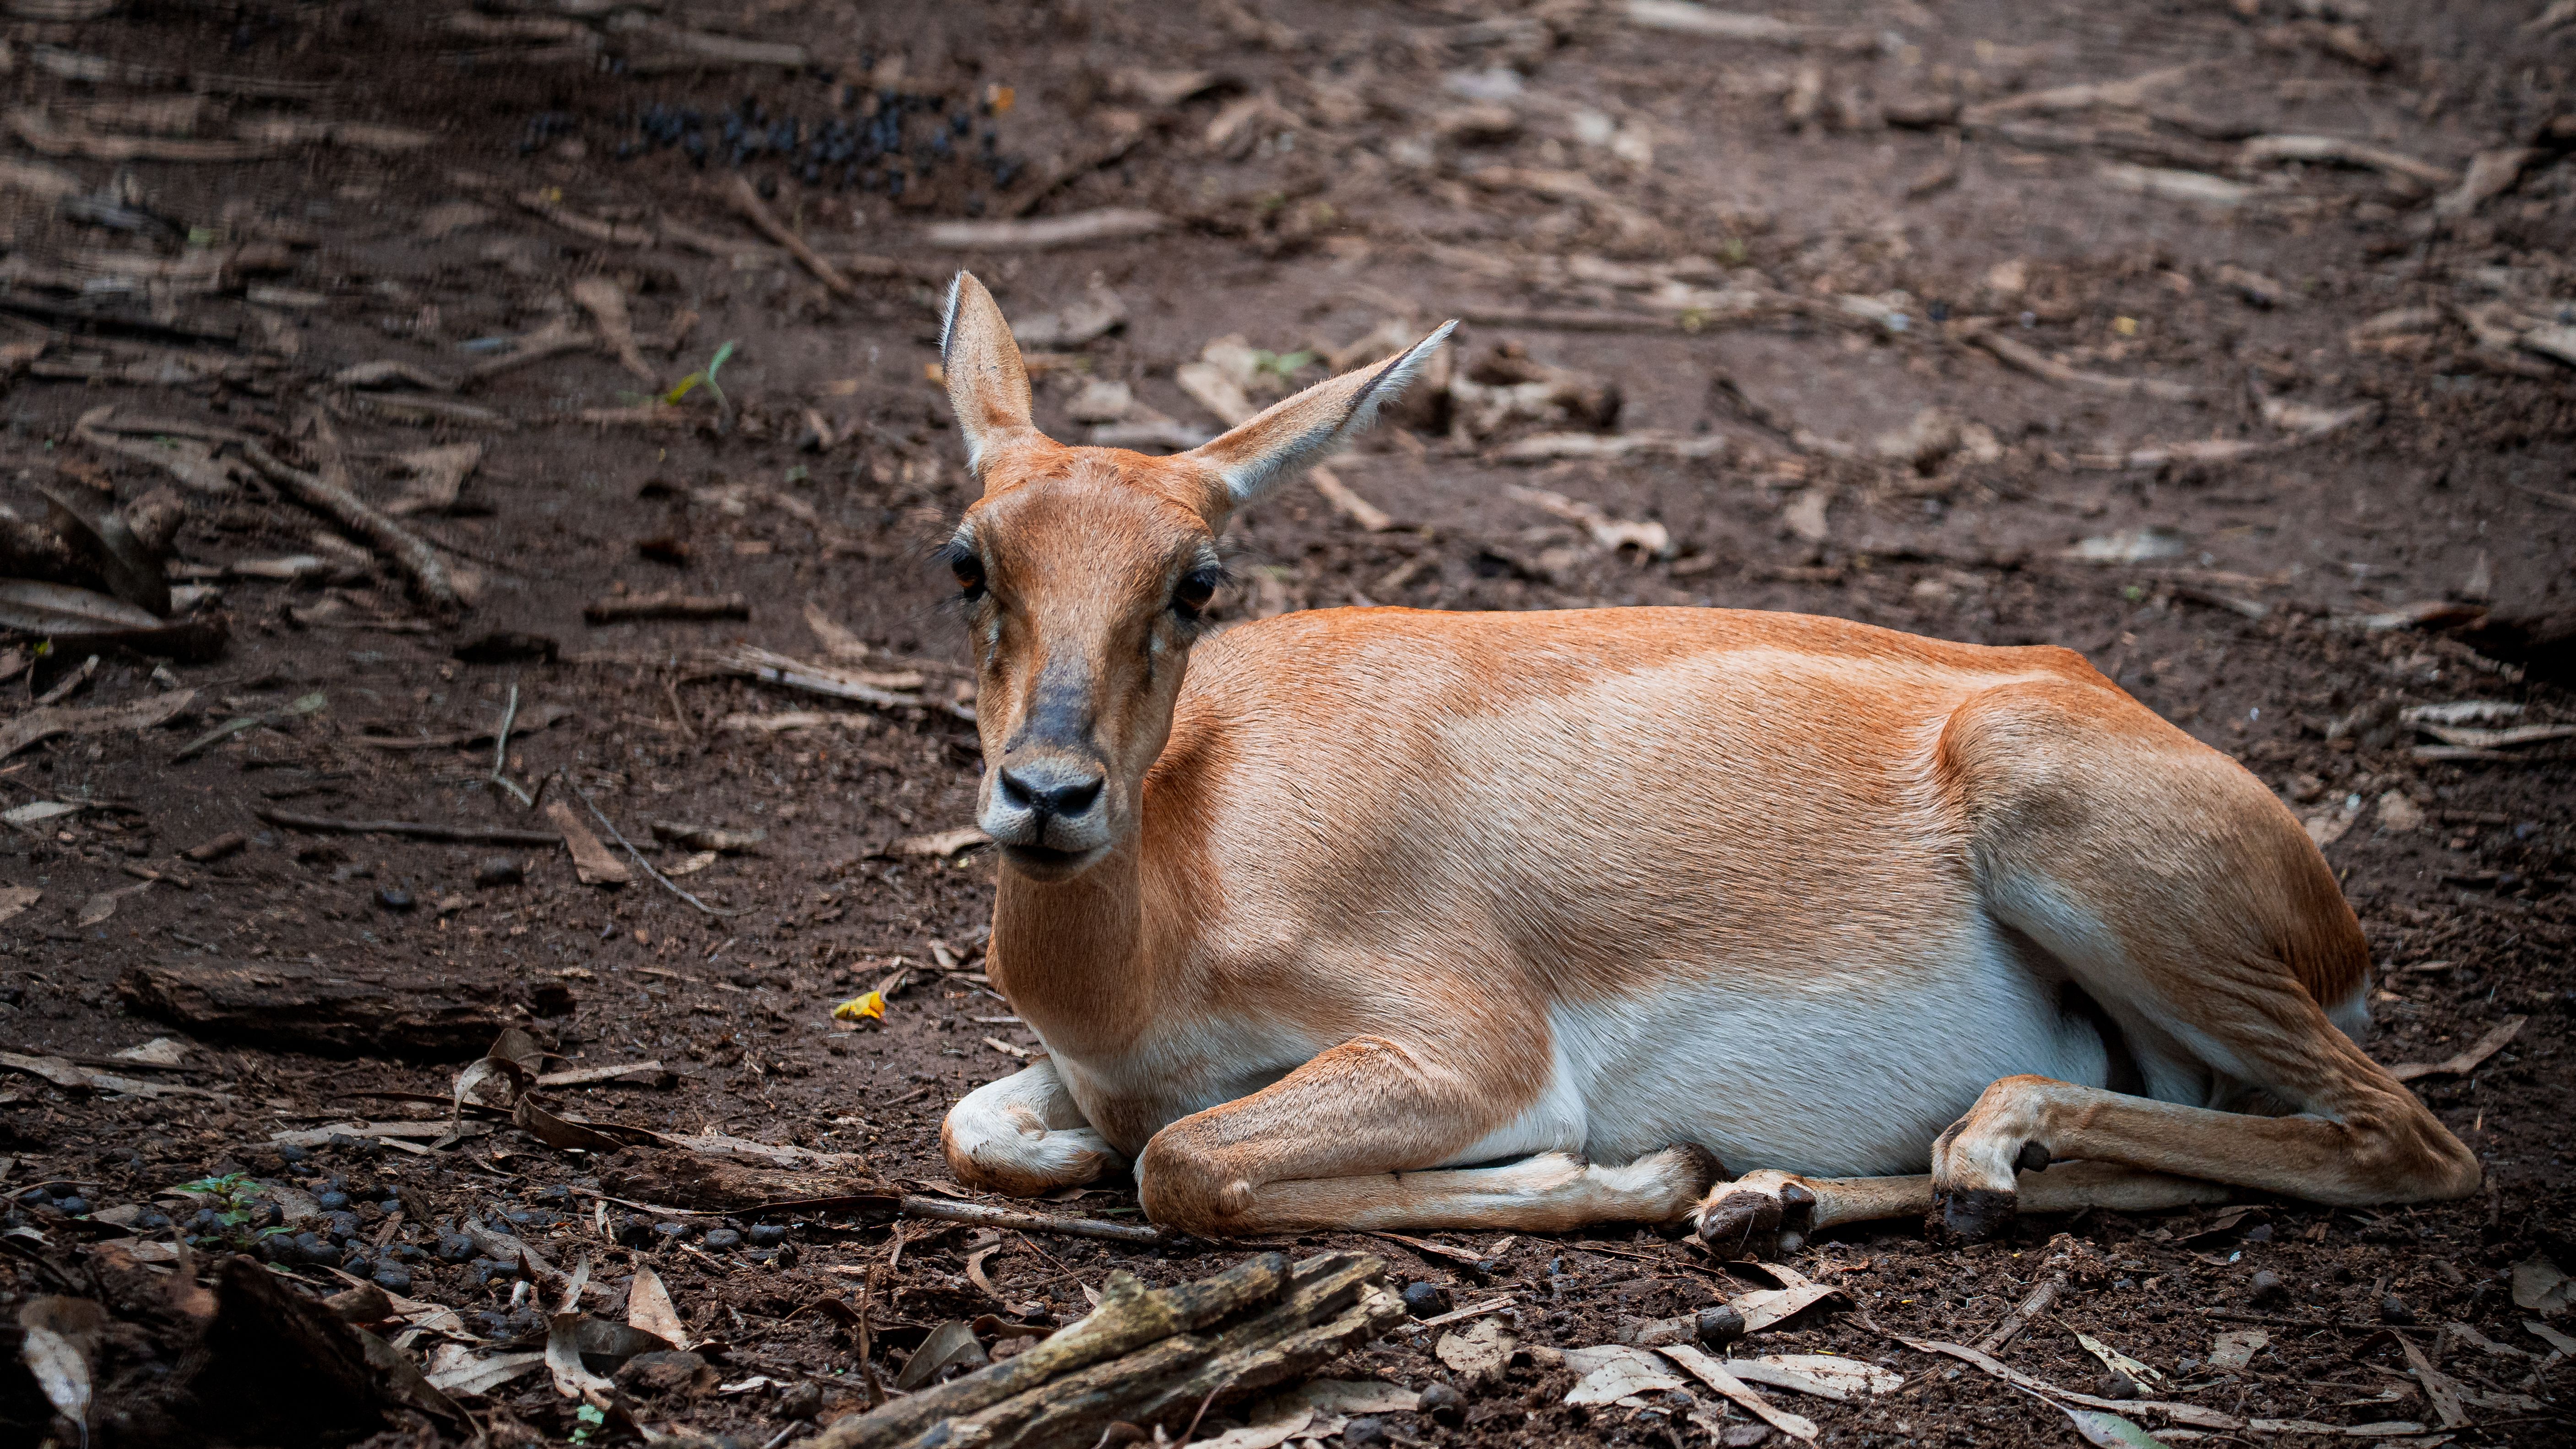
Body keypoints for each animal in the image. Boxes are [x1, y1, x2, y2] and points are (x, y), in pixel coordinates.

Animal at [927, 271, 2478, 1251]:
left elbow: (1184, 1160)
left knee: (2402, 1137)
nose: (1050, 794)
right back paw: (1786, 1199)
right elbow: (987, 1124)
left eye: (1195, 580)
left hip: (2083, 843)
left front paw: (1634, 1164)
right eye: (968, 557)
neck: (1156, 934)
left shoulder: (1468, 1046)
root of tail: (2328, 912)